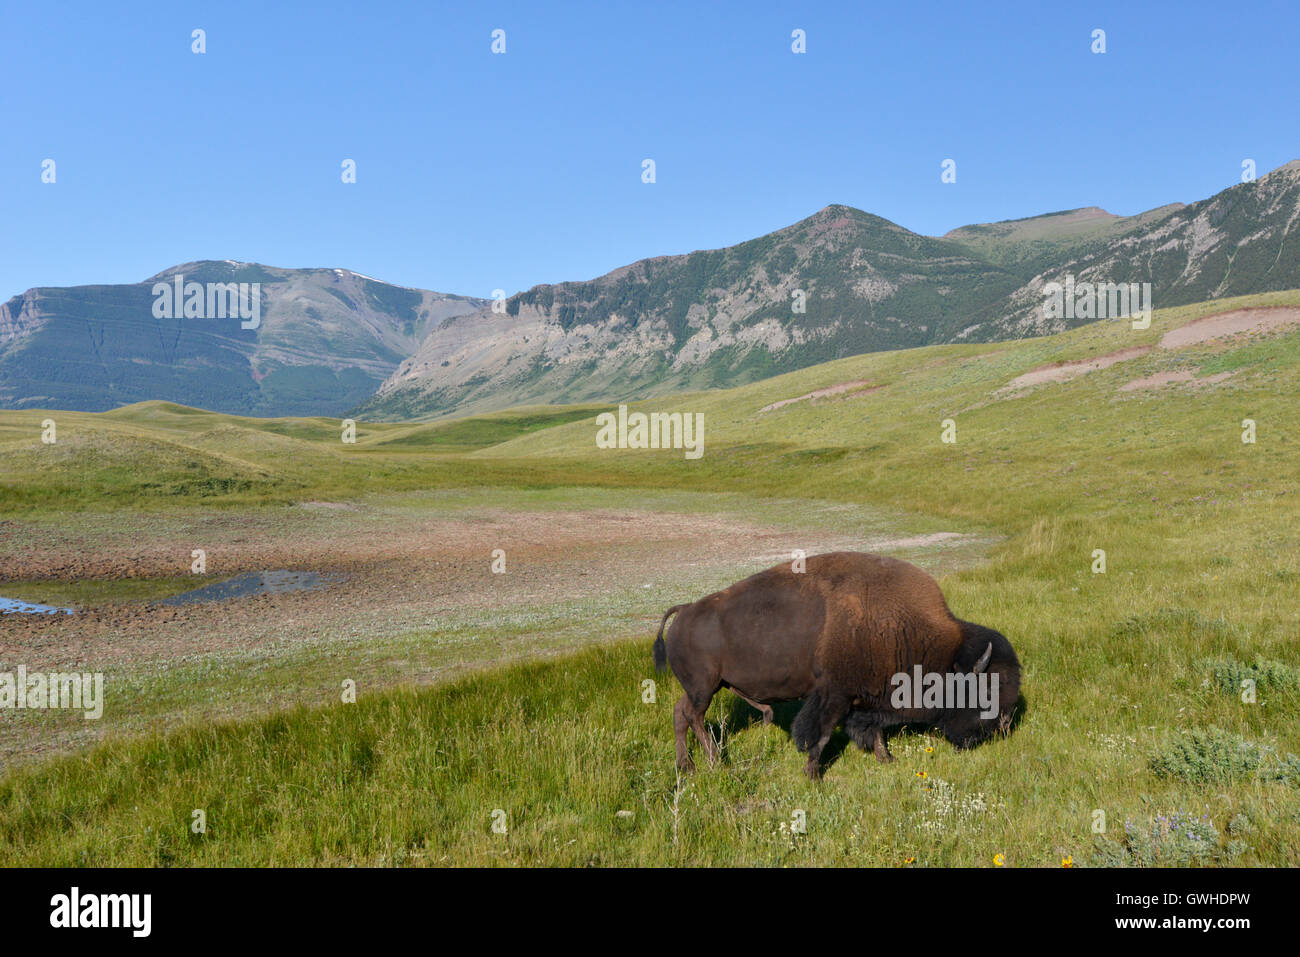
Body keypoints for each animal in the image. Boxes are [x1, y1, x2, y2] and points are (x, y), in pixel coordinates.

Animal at [652, 551, 1020, 778]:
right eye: (985, 690)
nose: (1003, 727)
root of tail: (684, 611)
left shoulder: (866, 696)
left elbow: (872, 730)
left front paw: (886, 759)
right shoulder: (833, 695)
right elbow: (821, 734)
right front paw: (813, 775)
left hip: (703, 688)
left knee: (680, 713)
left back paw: (686, 766)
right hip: (704, 688)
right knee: (694, 717)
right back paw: (716, 761)